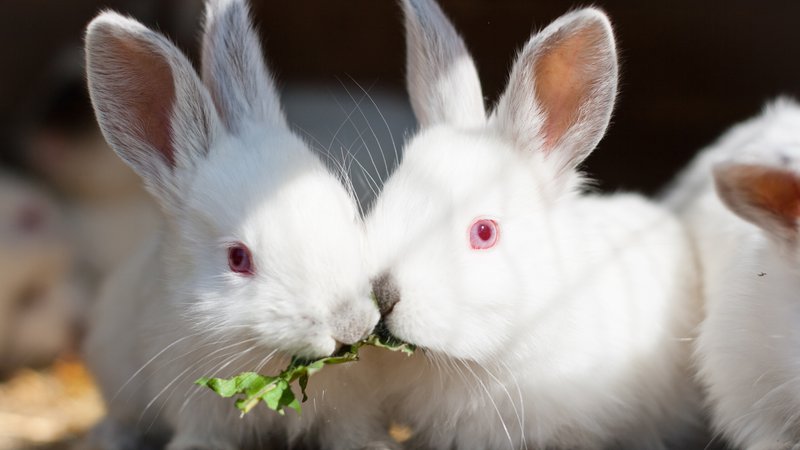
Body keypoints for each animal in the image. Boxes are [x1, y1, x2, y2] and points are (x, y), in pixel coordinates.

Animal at [81, 0, 389, 449]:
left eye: (348, 213)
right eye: (237, 259)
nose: (349, 323)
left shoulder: (353, 410)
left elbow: (353, 434)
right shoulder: (196, 408)